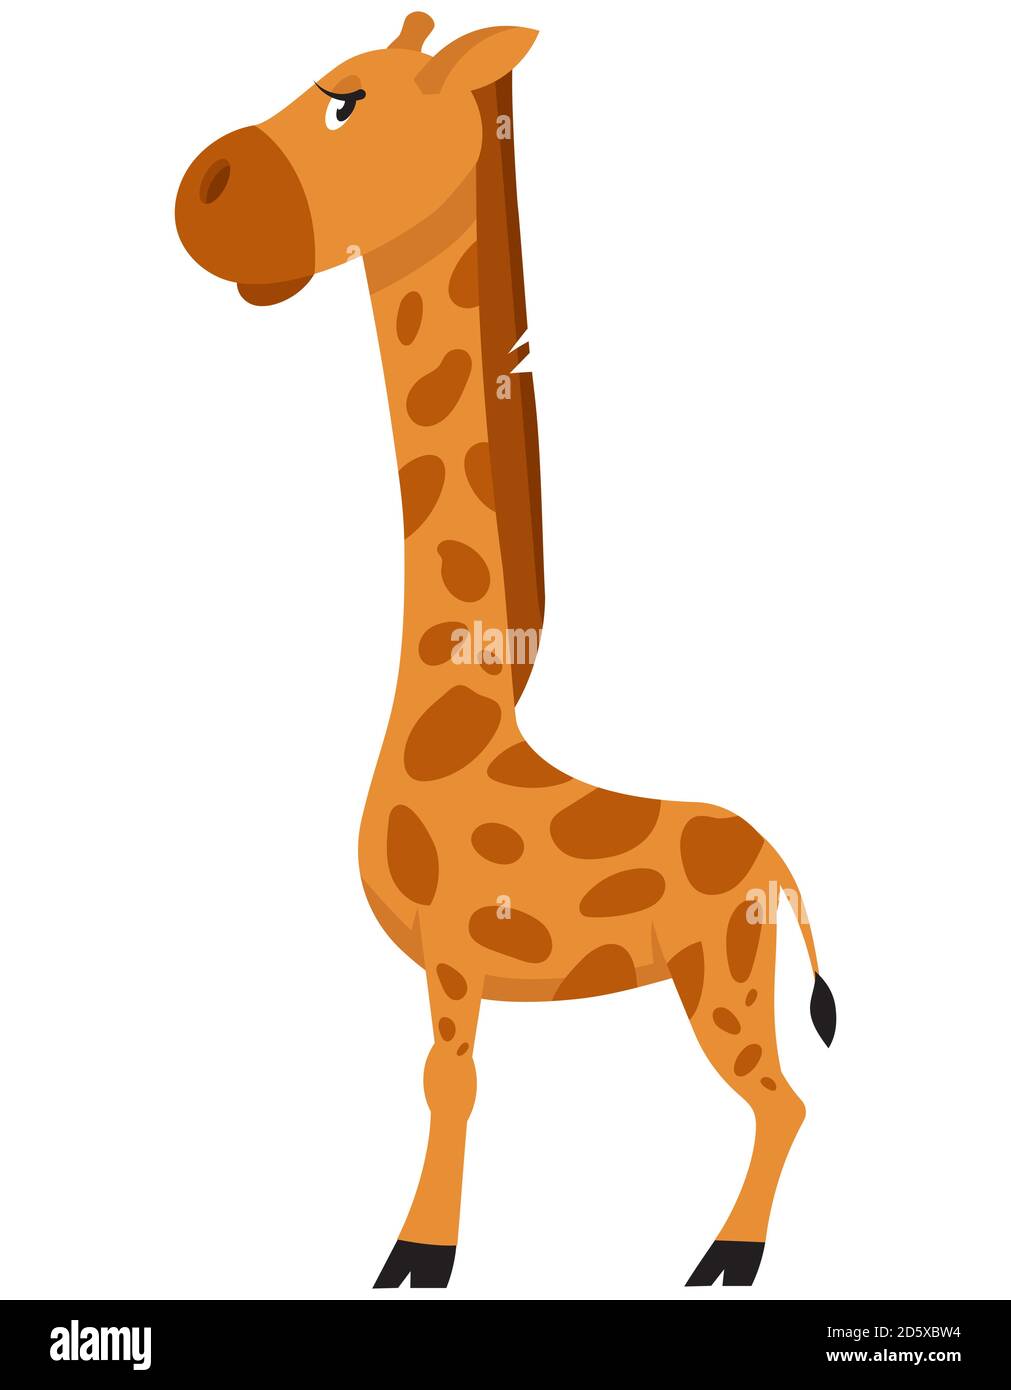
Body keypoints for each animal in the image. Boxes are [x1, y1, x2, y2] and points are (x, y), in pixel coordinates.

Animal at [175, 11, 836, 1291]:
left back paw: (725, 1259)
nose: (203, 189)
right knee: (777, 1099)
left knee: (781, 1099)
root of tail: (783, 867)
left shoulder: (451, 953)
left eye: (346, 99)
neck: (461, 717)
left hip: (726, 977)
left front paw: (416, 1254)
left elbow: (449, 1083)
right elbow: (456, 1084)